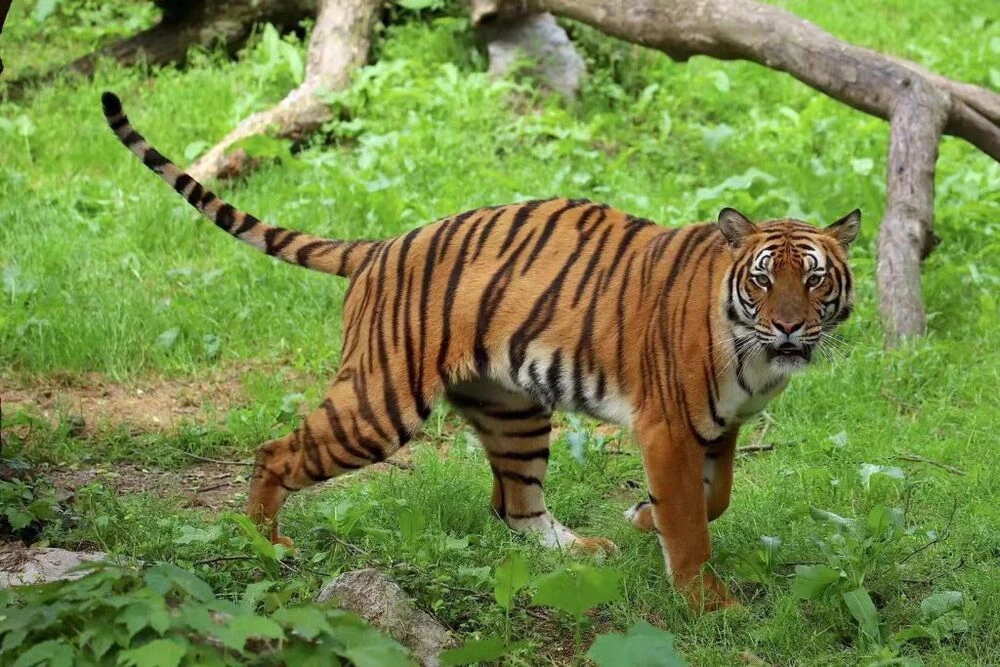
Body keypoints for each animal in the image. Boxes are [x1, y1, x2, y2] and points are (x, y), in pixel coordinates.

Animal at [101, 92, 859, 612]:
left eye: (813, 278)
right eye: (763, 278)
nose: (789, 327)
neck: (754, 357)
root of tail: (380, 246)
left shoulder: (718, 427)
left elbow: (716, 498)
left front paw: (644, 519)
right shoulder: (668, 425)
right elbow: (693, 523)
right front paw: (709, 604)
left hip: (513, 410)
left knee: (514, 505)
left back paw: (581, 549)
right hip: (379, 404)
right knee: (275, 451)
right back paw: (267, 541)